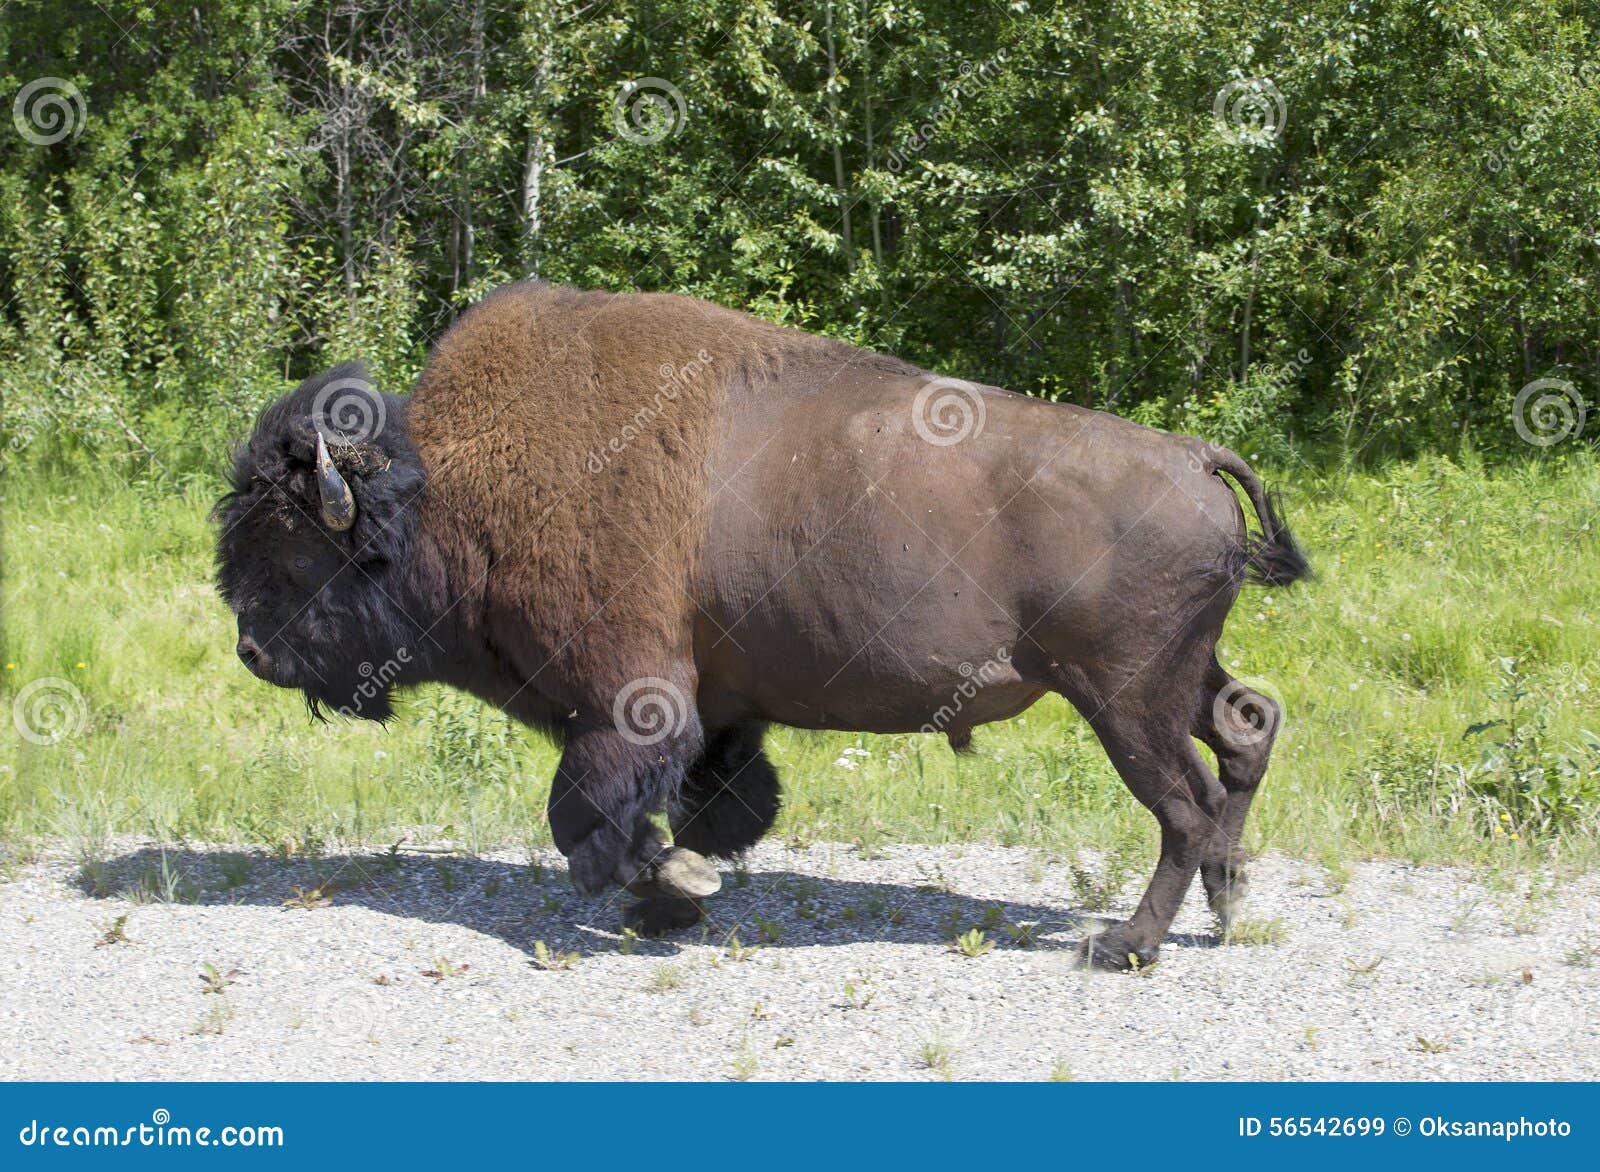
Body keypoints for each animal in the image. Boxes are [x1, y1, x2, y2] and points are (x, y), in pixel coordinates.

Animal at [214, 281, 1309, 968]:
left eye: (295, 548)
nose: (251, 650)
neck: (448, 482)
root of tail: (1193, 456)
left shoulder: (627, 699)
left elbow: (589, 813)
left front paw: (671, 888)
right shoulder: (713, 709)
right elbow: (707, 799)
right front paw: (672, 897)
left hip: (1123, 696)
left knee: (1183, 801)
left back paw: (1126, 944)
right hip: (1180, 676)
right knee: (1246, 731)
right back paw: (1224, 902)